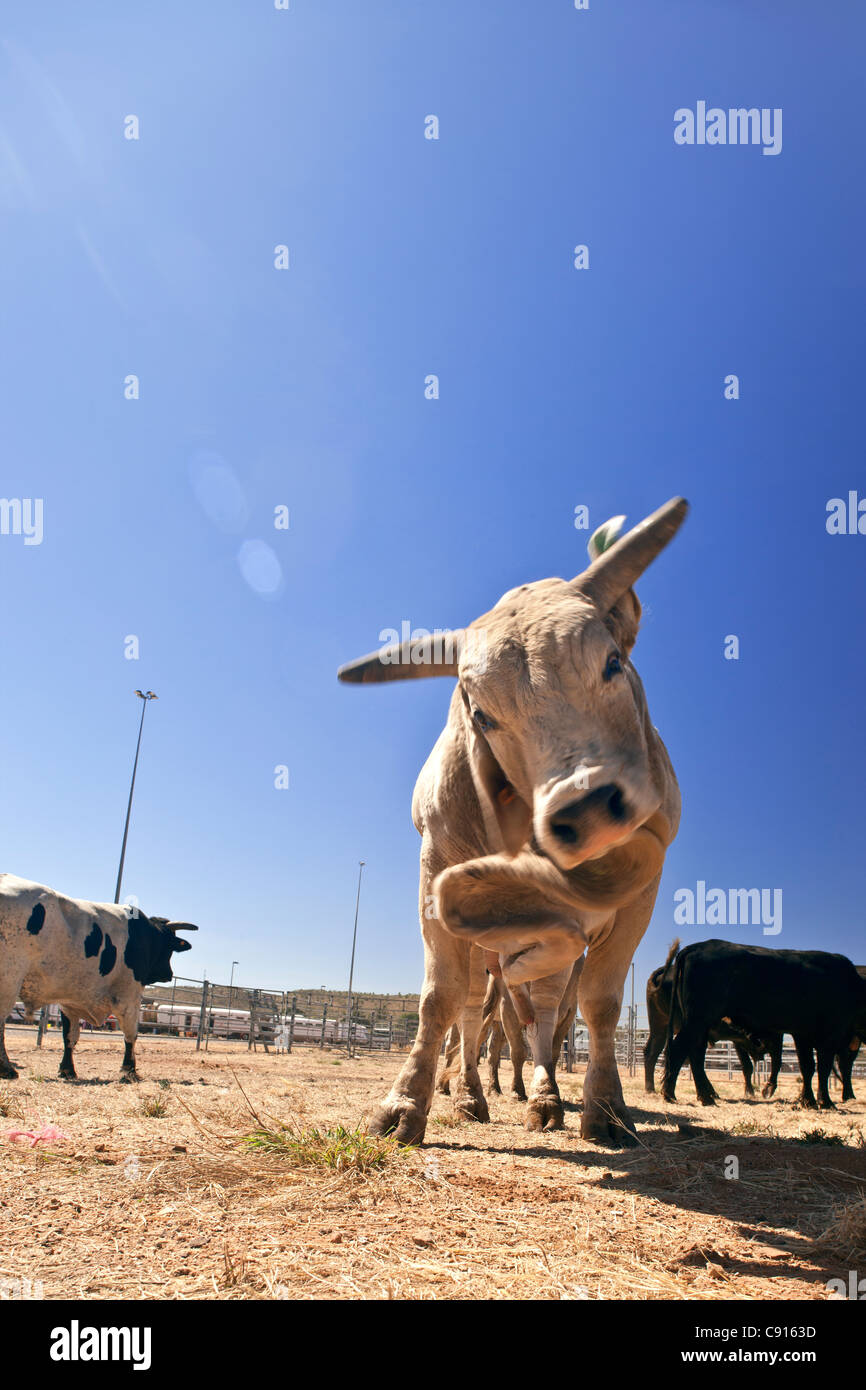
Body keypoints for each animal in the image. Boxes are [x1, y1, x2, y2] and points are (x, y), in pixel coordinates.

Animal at [0, 874, 198, 1082]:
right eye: (169, 947)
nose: (169, 974)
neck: (146, 935)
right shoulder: (129, 995)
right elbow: (130, 1035)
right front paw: (129, 1069)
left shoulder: (69, 1001)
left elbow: (69, 1036)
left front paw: (68, 1069)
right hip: (9, 977)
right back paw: (6, 1068)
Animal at [338, 496, 688, 1147]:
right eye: (482, 714)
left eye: (613, 662)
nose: (587, 805)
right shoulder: (437, 878)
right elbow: (440, 999)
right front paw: (404, 1104)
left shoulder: (639, 898)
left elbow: (598, 1004)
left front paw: (605, 1109)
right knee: (477, 1012)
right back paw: (471, 1094)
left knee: (542, 1015)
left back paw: (545, 1097)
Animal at [662, 940, 866, 1109]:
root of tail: (694, 947)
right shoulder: (831, 1033)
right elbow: (822, 1067)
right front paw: (826, 1102)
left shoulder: (802, 1033)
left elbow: (807, 1066)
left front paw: (808, 1100)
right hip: (697, 1020)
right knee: (680, 1050)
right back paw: (674, 1094)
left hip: (698, 1024)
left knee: (693, 1054)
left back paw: (698, 1096)